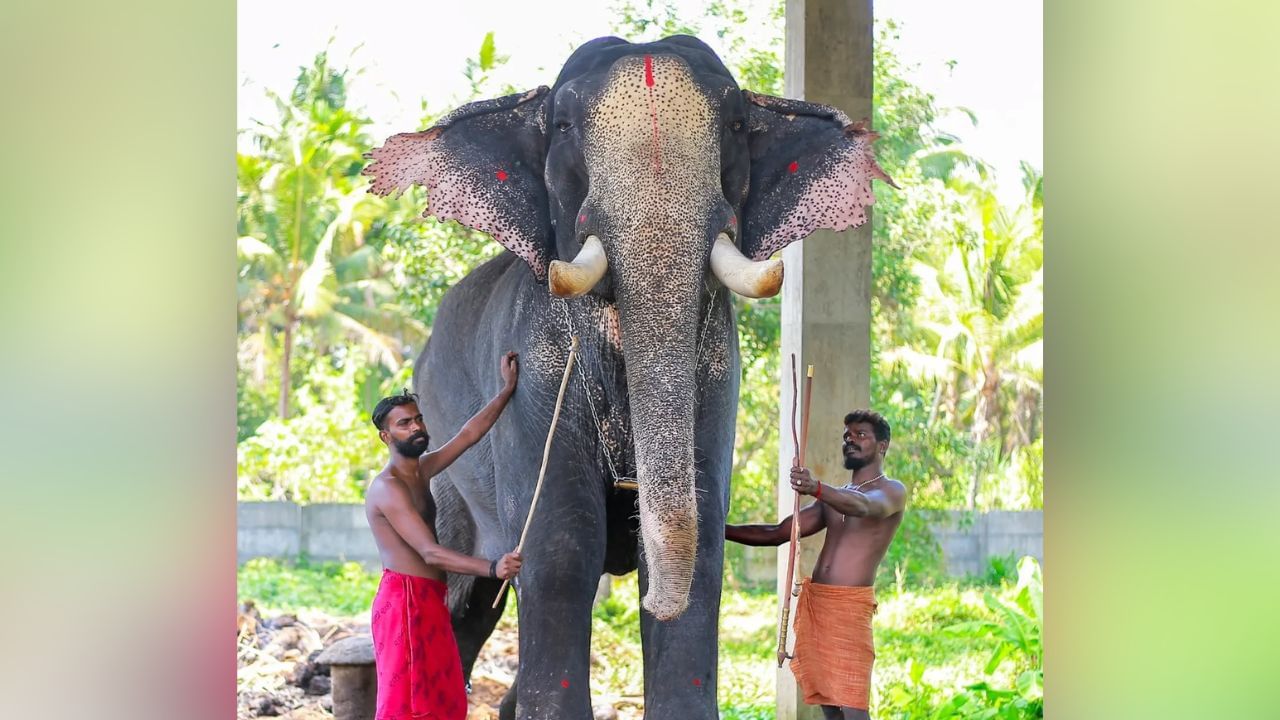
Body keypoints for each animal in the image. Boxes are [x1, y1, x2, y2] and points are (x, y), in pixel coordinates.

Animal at [363, 34, 895, 720]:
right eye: (563, 125)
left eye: (737, 125)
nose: (630, 494)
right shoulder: (536, 375)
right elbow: (561, 549)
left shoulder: (716, 375)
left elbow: (703, 552)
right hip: (447, 481)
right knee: (464, 601)